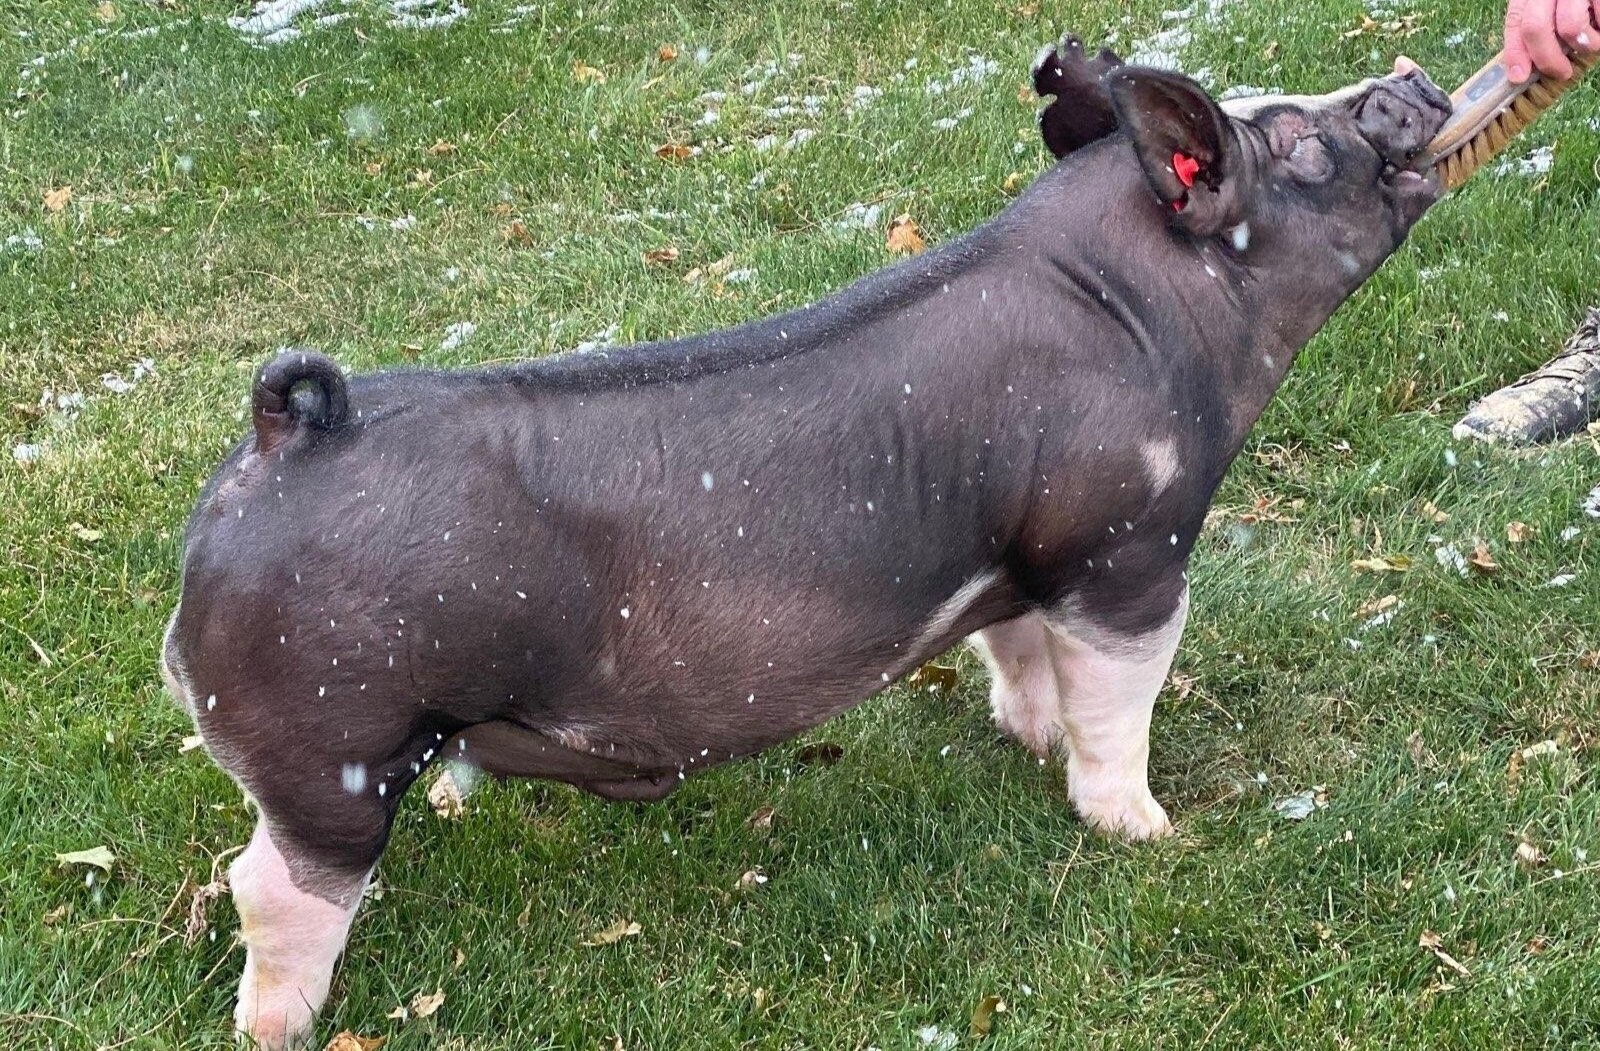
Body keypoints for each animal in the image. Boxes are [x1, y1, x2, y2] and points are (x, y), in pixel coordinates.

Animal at [161, 38, 1450, 1046]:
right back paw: (282, 1026)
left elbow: (1017, 652)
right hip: (338, 738)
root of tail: (287, 432)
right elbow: (1117, 700)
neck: (1136, 302)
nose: (1410, 76)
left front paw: (1025, 740)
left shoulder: (1019, 561)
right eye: (1295, 143)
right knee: (268, 881)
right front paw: (1144, 827)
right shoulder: (1124, 548)